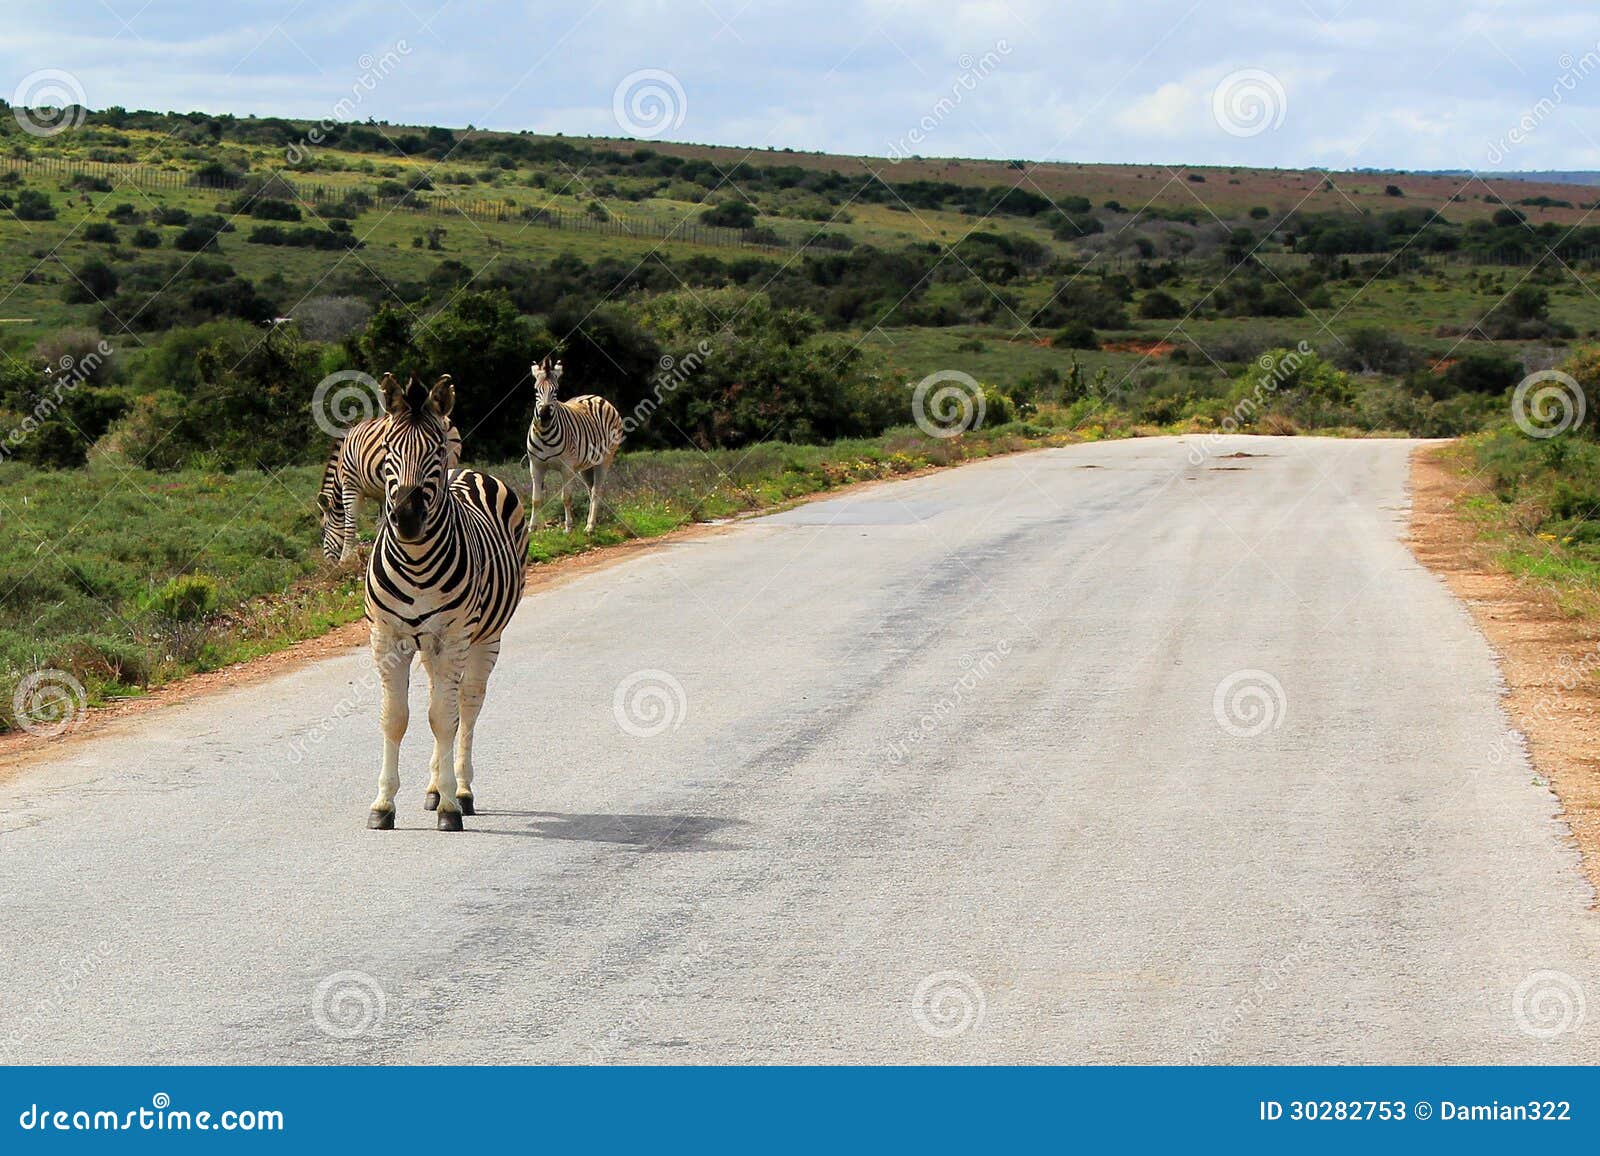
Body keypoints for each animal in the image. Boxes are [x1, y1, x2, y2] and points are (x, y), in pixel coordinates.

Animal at [317, 407, 463, 562]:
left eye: (323, 530)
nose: (328, 563)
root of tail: (444, 422)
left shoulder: (350, 484)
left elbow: (350, 523)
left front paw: (345, 559)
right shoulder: (381, 494)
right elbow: (380, 523)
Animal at [364, 373, 529, 832]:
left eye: (434, 450)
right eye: (388, 449)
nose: (406, 518)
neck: (416, 560)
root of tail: (467, 470)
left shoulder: (453, 638)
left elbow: (444, 718)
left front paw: (451, 809)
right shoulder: (386, 639)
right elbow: (395, 717)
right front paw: (383, 805)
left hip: (484, 637)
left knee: (465, 706)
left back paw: (460, 790)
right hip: (429, 645)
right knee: (444, 701)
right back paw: (435, 787)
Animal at [526, 355, 624, 533]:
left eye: (556, 392)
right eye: (536, 391)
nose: (544, 417)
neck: (545, 434)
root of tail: (597, 397)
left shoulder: (567, 468)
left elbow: (566, 498)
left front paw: (568, 528)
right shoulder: (535, 466)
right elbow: (535, 500)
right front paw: (532, 528)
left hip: (605, 459)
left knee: (596, 491)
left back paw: (589, 527)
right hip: (585, 466)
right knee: (590, 490)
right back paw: (592, 523)